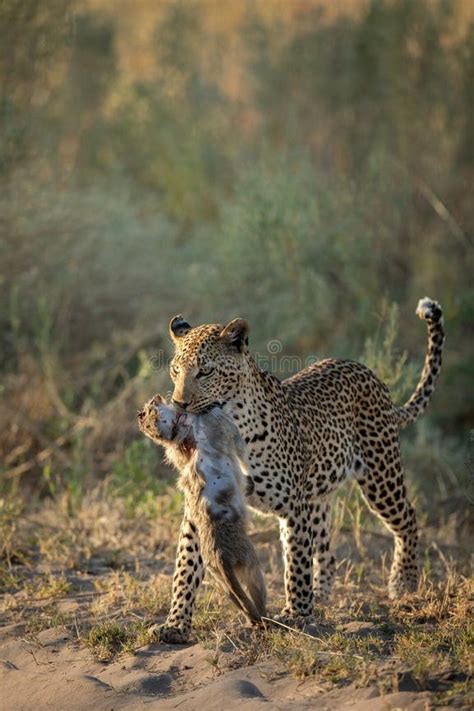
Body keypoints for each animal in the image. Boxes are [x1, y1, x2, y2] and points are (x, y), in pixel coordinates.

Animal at [137, 393, 267, 635]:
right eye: (148, 409)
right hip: (252, 565)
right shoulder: (227, 429)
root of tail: (220, 555)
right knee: (257, 598)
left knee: (240, 601)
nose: (155, 397)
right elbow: (242, 454)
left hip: (222, 583)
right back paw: (269, 620)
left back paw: (253, 621)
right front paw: (250, 481)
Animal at [157, 297, 444, 643]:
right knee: (325, 552)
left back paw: (403, 583)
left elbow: (295, 562)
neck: (228, 424)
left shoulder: (292, 507)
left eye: (206, 371)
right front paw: (176, 623)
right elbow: (185, 566)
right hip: (318, 498)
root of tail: (367, 371)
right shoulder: (200, 508)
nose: (179, 403)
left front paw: (295, 614)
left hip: (380, 474)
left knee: (407, 520)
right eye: (175, 369)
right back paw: (320, 595)